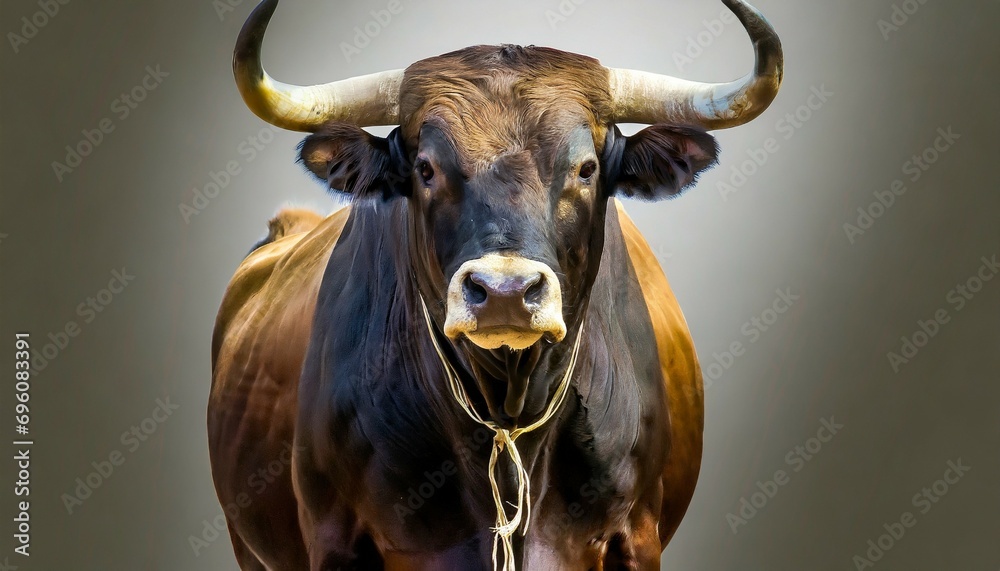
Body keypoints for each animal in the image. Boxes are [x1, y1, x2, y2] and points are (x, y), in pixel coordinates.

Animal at [208, 0, 782, 569]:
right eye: (425, 169)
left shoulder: (638, 536)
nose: (505, 293)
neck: (508, 415)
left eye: (586, 168)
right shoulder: (334, 540)